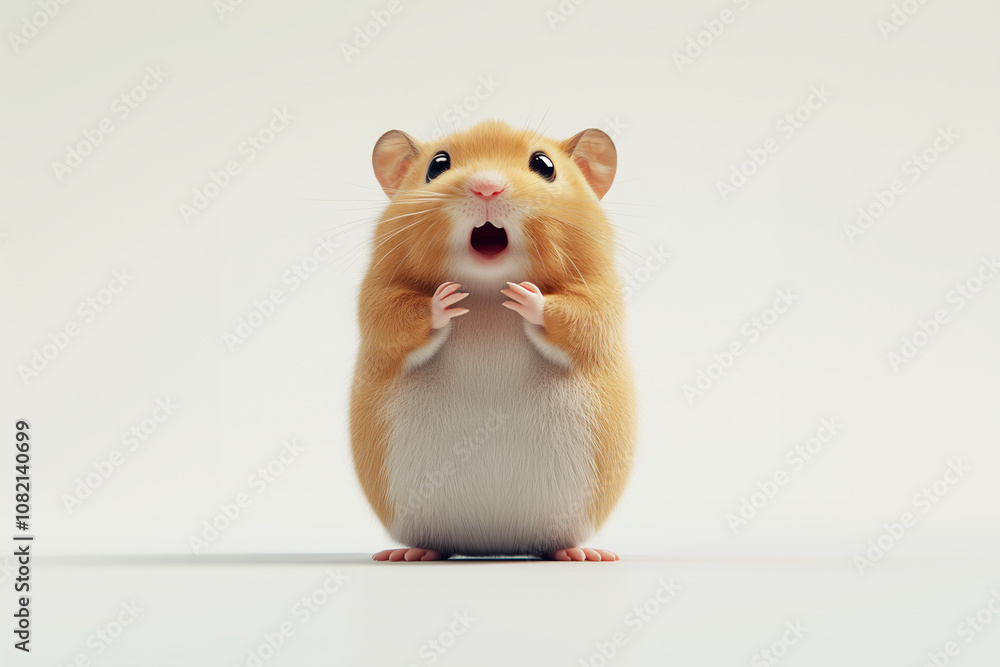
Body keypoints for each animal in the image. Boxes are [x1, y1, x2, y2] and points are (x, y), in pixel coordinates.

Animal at [350, 120, 637, 562]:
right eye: (437, 166)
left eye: (544, 165)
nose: (487, 188)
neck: (486, 286)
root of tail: (491, 544)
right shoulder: (378, 297)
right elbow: (394, 318)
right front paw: (446, 300)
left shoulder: (600, 297)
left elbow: (580, 317)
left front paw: (524, 296)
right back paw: (410, 553)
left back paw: (582, 554)